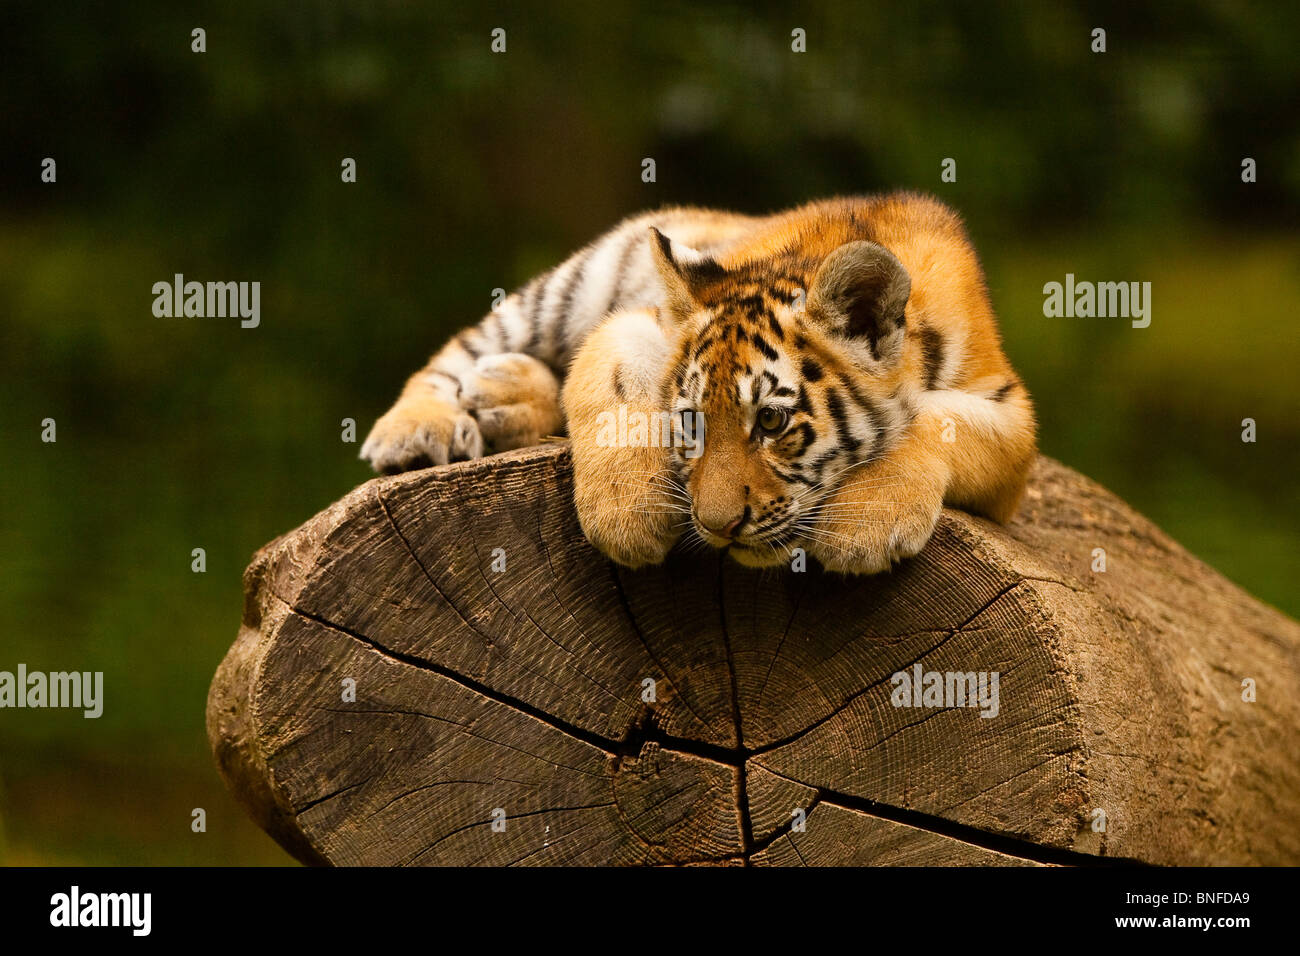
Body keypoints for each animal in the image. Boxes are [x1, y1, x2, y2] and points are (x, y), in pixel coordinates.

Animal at [361, 192, 1037, 574]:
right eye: (690, 421)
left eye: (772, 421)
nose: (715, 529)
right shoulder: (638, 320)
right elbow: (609, 374)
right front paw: (627, 516)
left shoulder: (1013, 418)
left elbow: (939, 417)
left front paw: (863, 526)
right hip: (574, 285)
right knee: (456, 354)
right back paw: (417, 432)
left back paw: (502, 396)